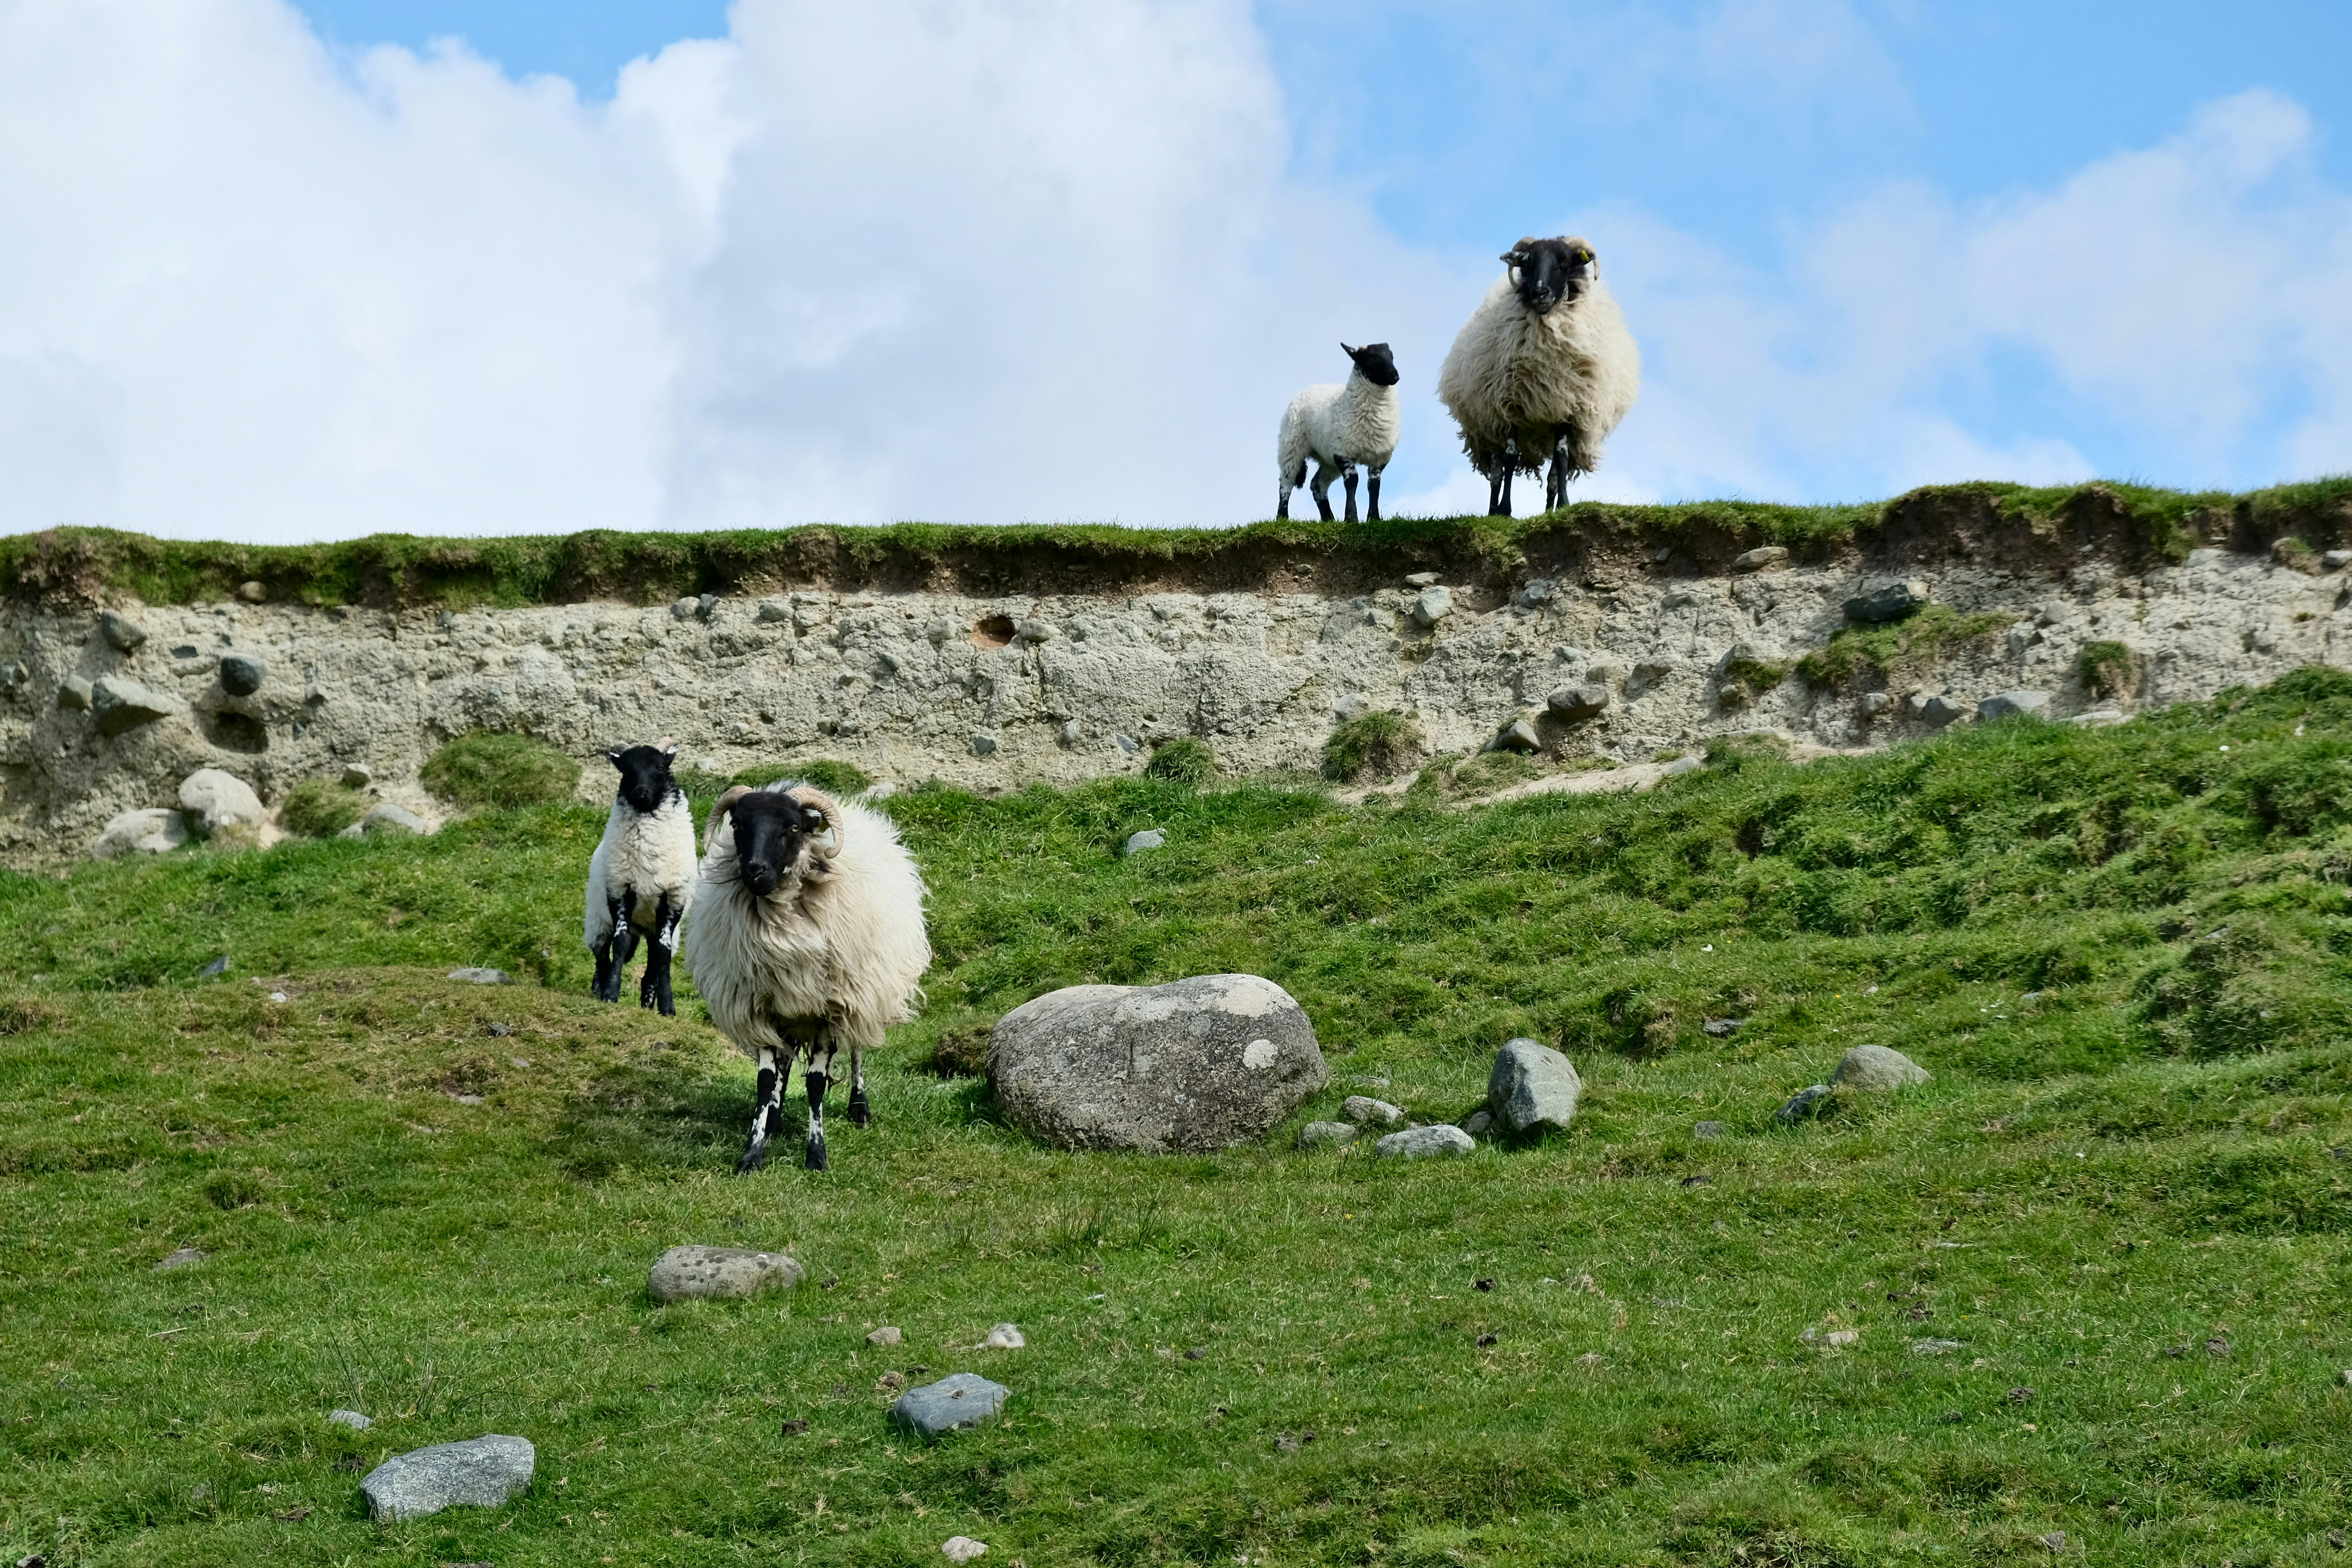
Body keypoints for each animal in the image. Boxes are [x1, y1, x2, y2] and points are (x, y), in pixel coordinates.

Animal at [585, 741, 698, 1015]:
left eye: (660, 768)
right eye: (626, 771)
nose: (641, 793)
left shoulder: (674, 898)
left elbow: (663, 952)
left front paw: (667, 1007)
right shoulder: (620, 890)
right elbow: (621, 942)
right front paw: (610, 994)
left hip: (651, 927)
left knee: (652, 964)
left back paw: (647, 1005)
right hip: (598, 921)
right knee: (602, 958)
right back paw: (599, 991)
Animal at [680, 781, 931, 1173]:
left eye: (793, 827)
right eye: (737, 824)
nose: (754, 871)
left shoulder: (833, 1007)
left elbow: (815, 1083)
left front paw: (816, 1155)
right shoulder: (759, 1008)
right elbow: (766, 1080)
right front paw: (753, 1152)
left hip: (864, 992)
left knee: (857, 1051)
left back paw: (859, 1107)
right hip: (791, 1012)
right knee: (784, 1063)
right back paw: (775, 1118)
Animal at [1277, 342, 1402, 522]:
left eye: (1391, 356)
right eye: (1371, 360)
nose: (1394, 376)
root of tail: (1312, 388)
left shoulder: (1380, 456)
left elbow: (1374, 486)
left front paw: (1374, 518)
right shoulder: (1343, 452)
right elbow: (1352, 482)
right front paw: (1351, 518)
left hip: (1328, 459)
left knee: (1318, 485)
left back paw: (1329, 519)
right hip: (1292, 445)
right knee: (1287, 481)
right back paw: (1282, 517)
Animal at [1436, 236, 1640, 516]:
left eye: (1565, 262)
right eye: (1527, 262)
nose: (1540, 293)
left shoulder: (1568, 407)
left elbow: (1562, 457)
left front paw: (1564, 505)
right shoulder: (1510, 406)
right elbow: (1511, 457)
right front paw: (1505, 509)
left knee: (1553, 470)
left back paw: (1549, 509)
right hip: (1488, 425)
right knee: (1497, 470)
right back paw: (1493, 511)